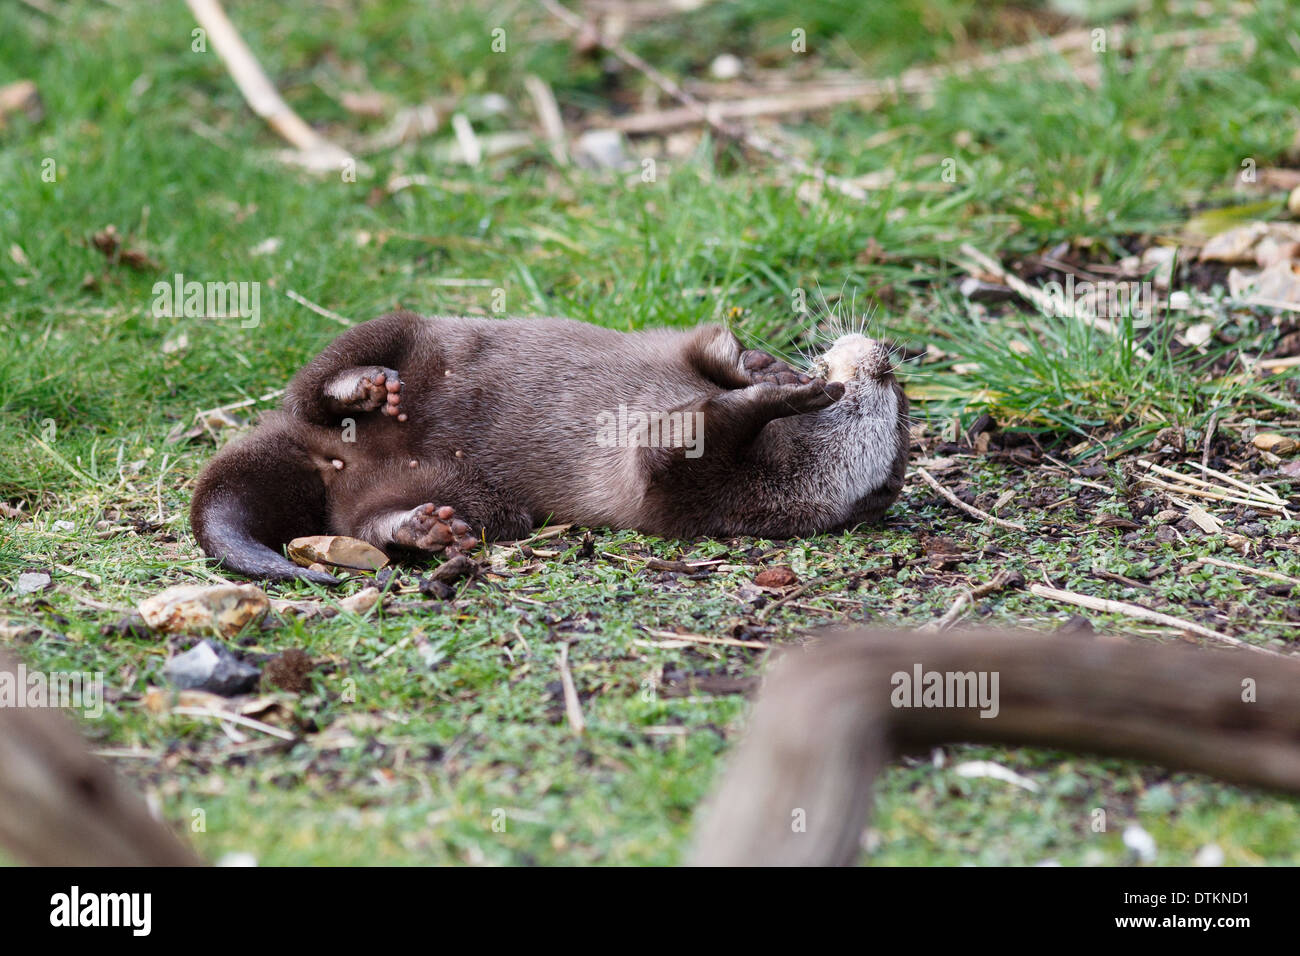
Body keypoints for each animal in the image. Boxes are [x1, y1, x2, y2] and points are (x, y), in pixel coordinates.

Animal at [189, 311, 909, 585]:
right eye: (897, 385)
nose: (882, 351)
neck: (774, 469)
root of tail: (324, 455)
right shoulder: (685, 358)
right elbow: (713, 351)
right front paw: (776, 375)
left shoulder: (690, 491)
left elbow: (681, 440)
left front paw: (788, 390)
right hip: (398, 329)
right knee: (312, 389)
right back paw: (364, 387)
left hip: (471, 499)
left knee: (369, 523)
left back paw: (426, 530)